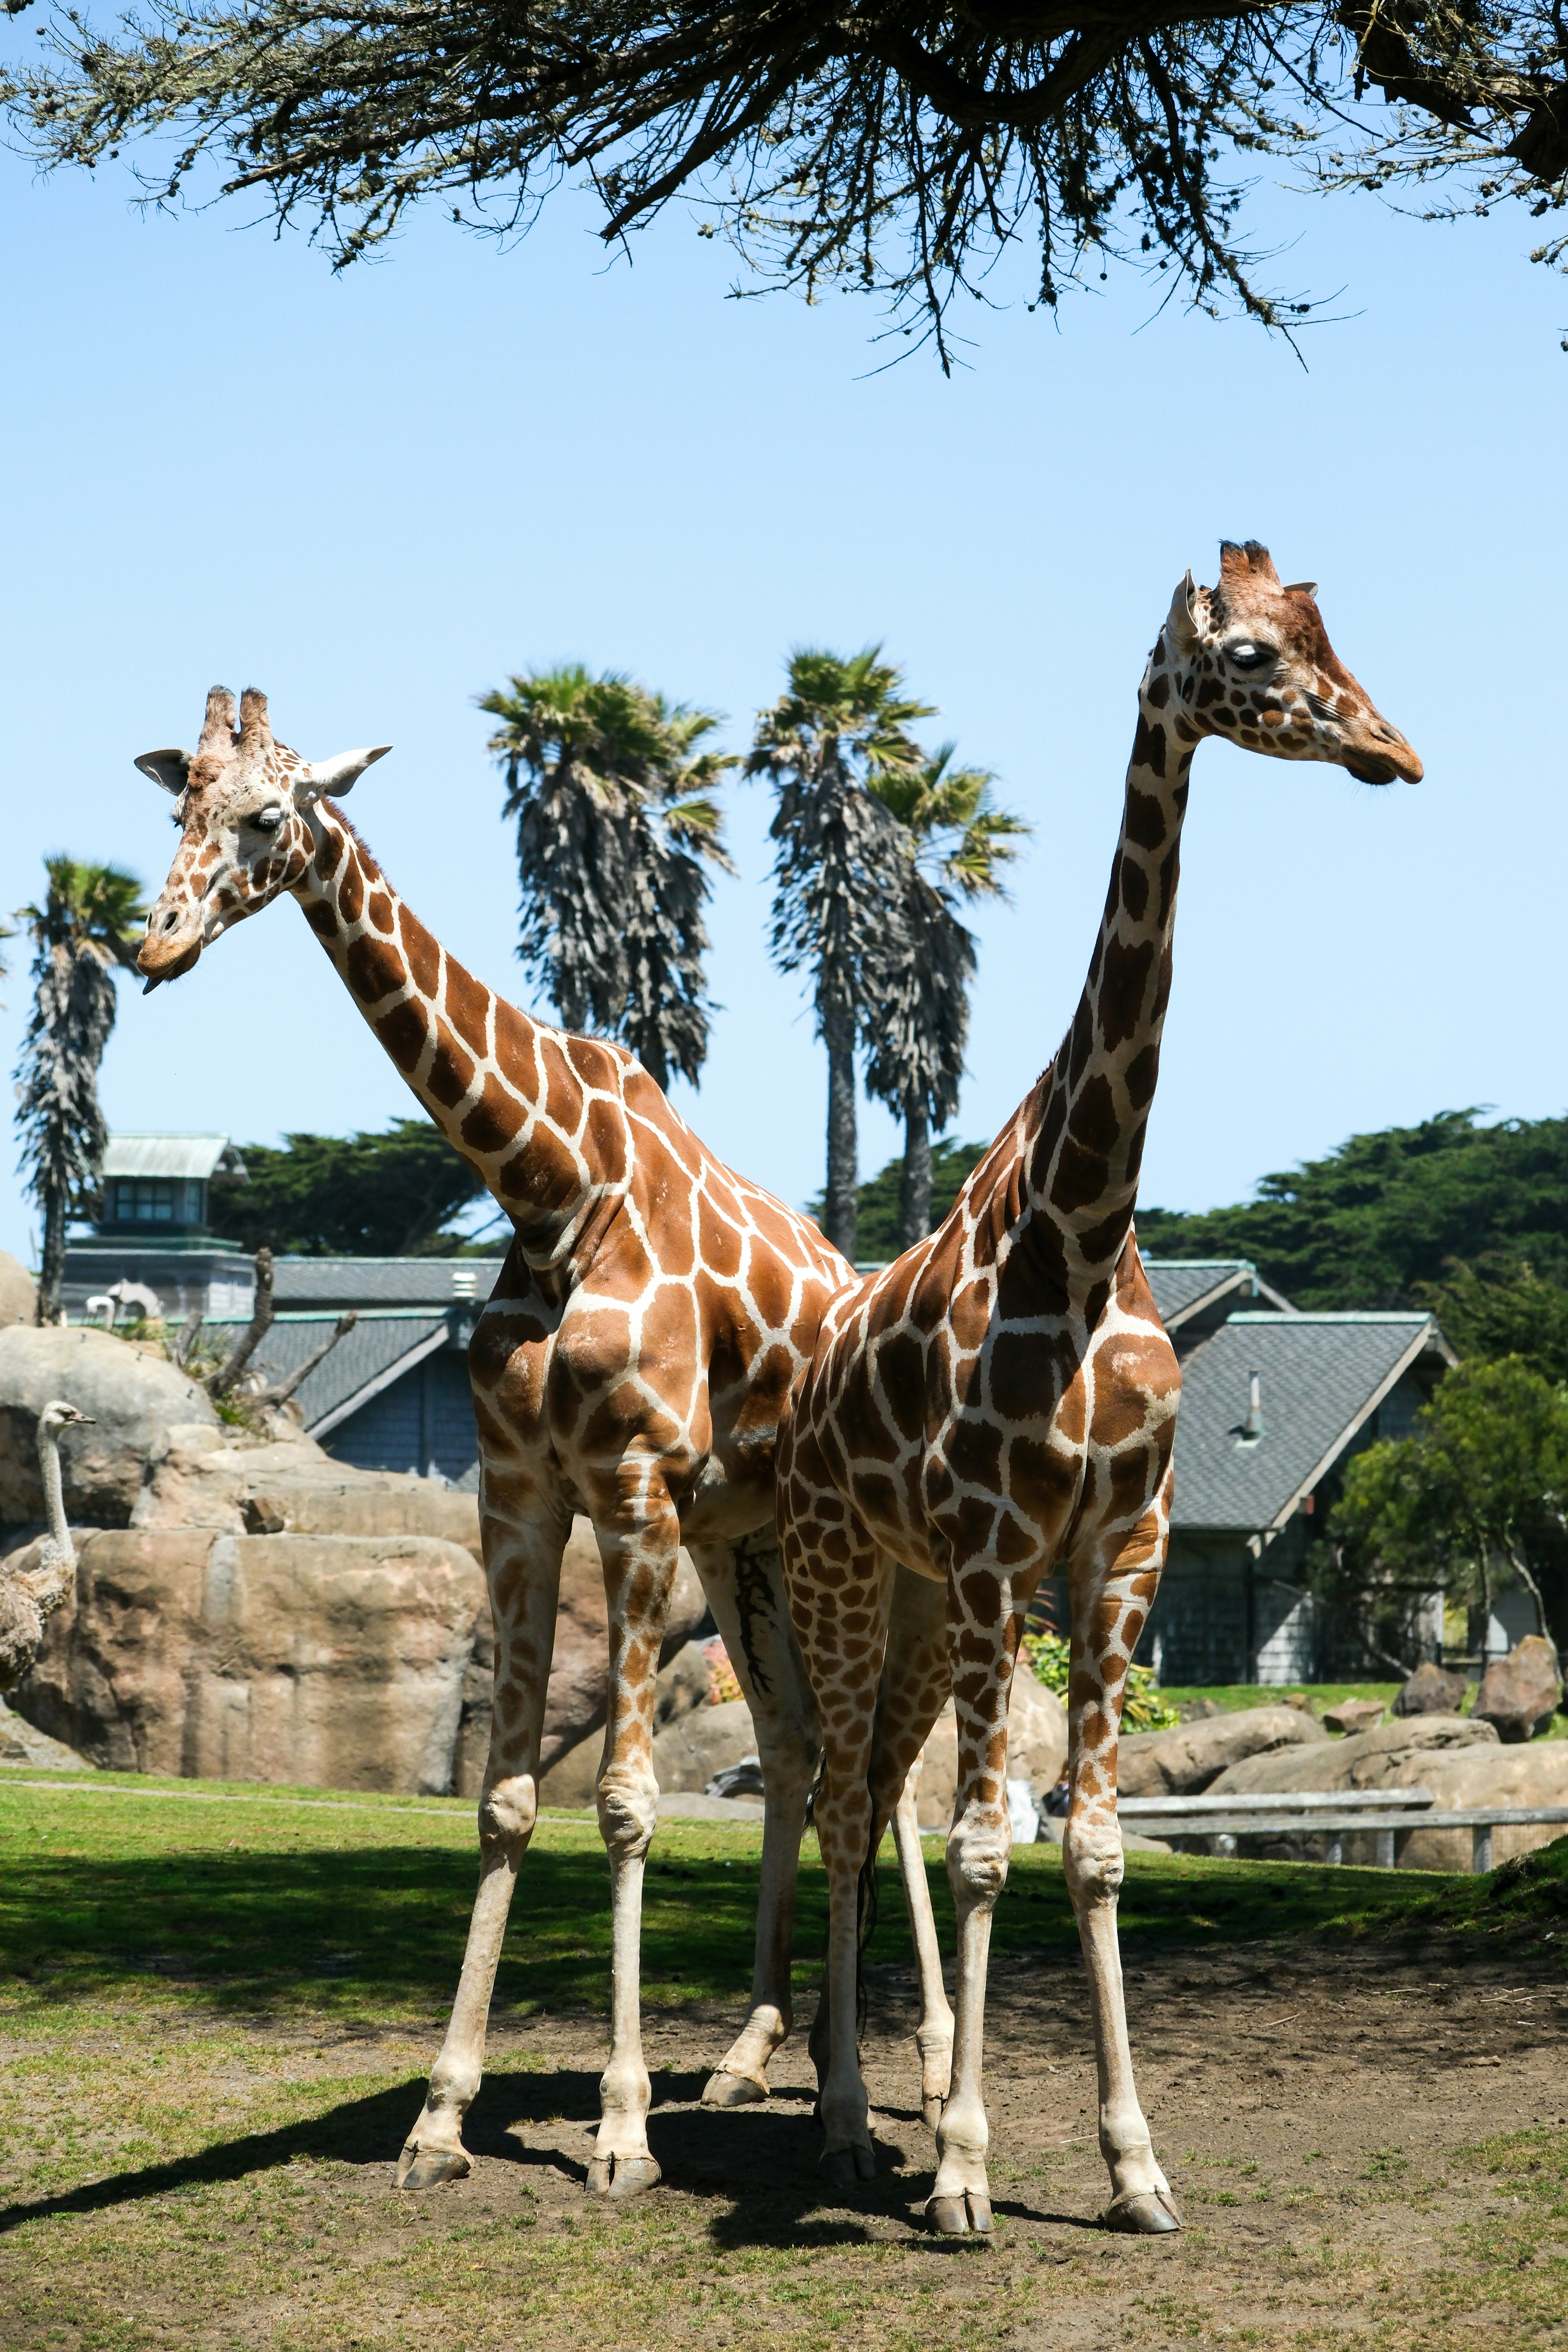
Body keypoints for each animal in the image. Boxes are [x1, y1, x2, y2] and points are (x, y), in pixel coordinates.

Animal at [131, 683, 951, 2198]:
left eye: (268, 814)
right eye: (180, 804)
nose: (153, 938)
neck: (553, 1184)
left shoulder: (629, 1486)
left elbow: (623, 1799)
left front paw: (622, 2131)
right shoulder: (520, 1493)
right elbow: (506, 1801)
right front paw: (441, 2117)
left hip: (854, 1548)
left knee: (885, 1770)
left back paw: (897, 2080)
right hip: (747, 1547)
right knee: (805, 1753)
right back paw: (767, 2055)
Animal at [775, 543, 1422, 2236]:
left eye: (1329, 635)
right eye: (1250, 657)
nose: (1392, 753)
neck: (1077, 1235)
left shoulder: (1115, 1548)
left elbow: (1094, 1848)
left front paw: (1132, 2164)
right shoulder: (998, 1551)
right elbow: (985, 1847)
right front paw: (963, 2170)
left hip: (918, 1604)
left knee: (877, 1792)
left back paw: (878, 2103)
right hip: (845, 1570)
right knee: (848, 1808)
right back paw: (851, 2125)